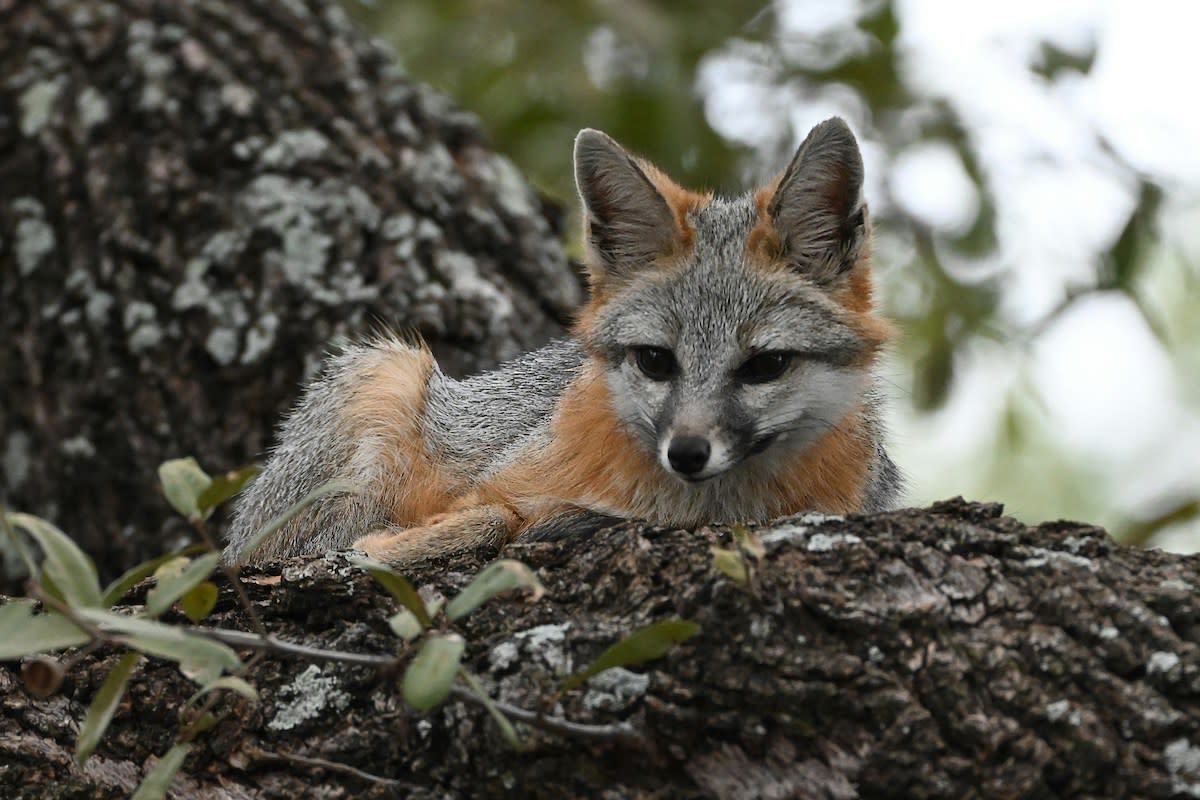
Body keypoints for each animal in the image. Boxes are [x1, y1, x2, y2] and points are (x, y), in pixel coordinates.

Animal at [223, 117, 901, 566]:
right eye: (656, 361)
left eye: (766, 366)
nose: (686, 452)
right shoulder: (495, 477)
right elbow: (490, 514)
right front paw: (398, 543)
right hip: (386, 374)